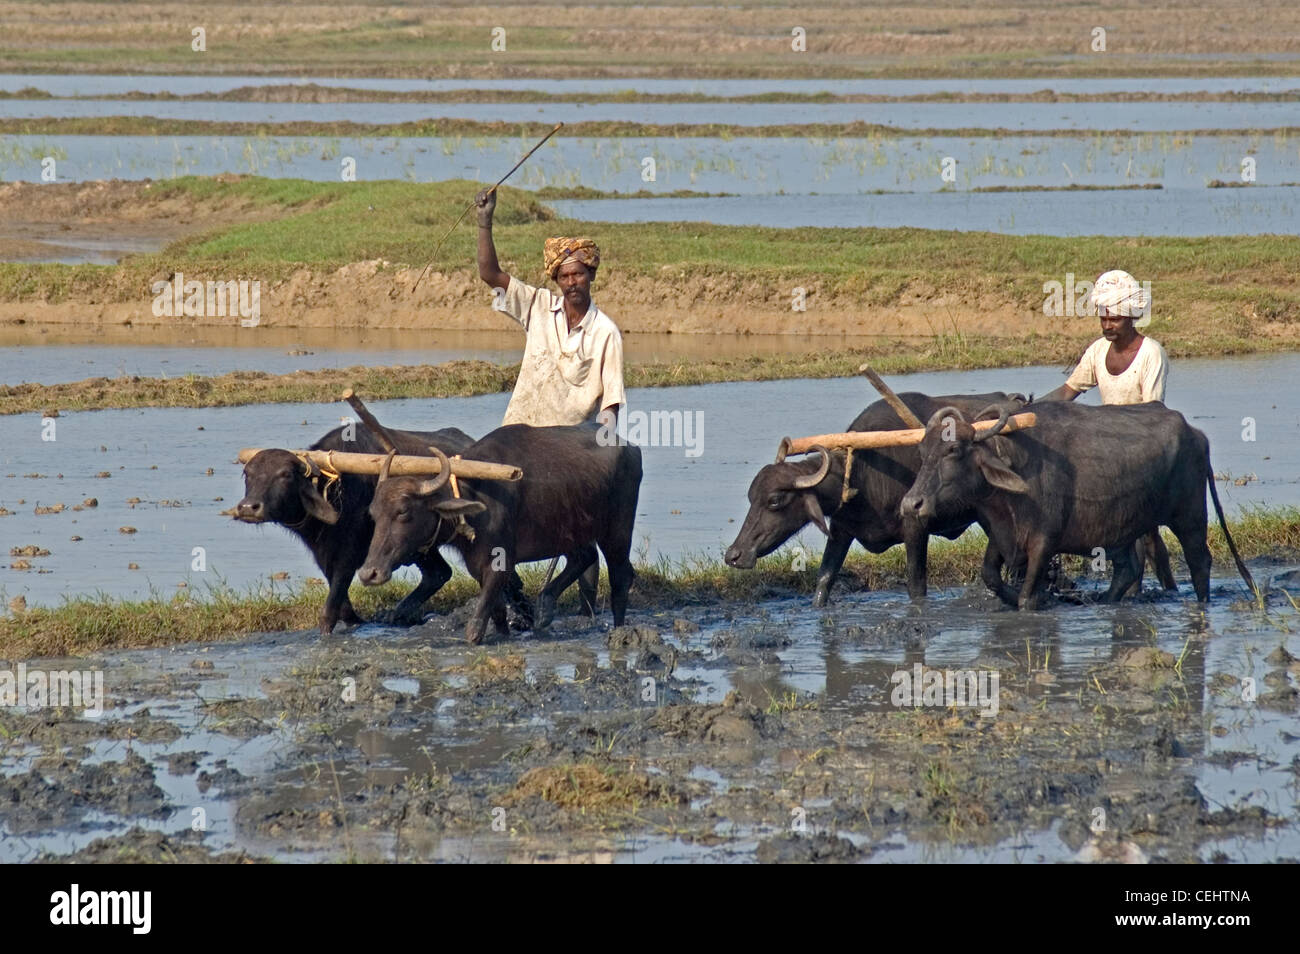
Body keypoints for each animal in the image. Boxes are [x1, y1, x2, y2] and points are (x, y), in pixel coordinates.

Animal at [359, 422, 642, 644]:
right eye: (373, 513)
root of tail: (630, 447)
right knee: (584, 557)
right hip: (572, 529)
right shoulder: (478, 566)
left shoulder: (501, 563)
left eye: (403, 511)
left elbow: (476, 624)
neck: (477, 497)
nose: (369, 573)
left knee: (619, 578)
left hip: (617, 531)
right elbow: (496, 613)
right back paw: (545, 607)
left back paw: (618, 630)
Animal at [724, 392, 1025, 603]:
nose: (734, 555)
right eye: (751, 497)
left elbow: (916, 585)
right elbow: (824, 580)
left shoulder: (915, 527)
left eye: (775, 500)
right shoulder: (841, 530)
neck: (864, 473)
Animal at [899, 401, 1256, 609]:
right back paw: (1106, 600)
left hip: (1190, 516)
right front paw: (1043, 597)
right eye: (923, 451)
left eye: (953, 450)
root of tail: (1196, 434)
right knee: (1128, 569)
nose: (911, 504)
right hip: (1121, 528)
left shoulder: (1044, 541)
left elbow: (1027, 596)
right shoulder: (1002, 535)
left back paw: (1202, 603)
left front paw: (1038, 599)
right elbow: (991, 576)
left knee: (1199, 562)